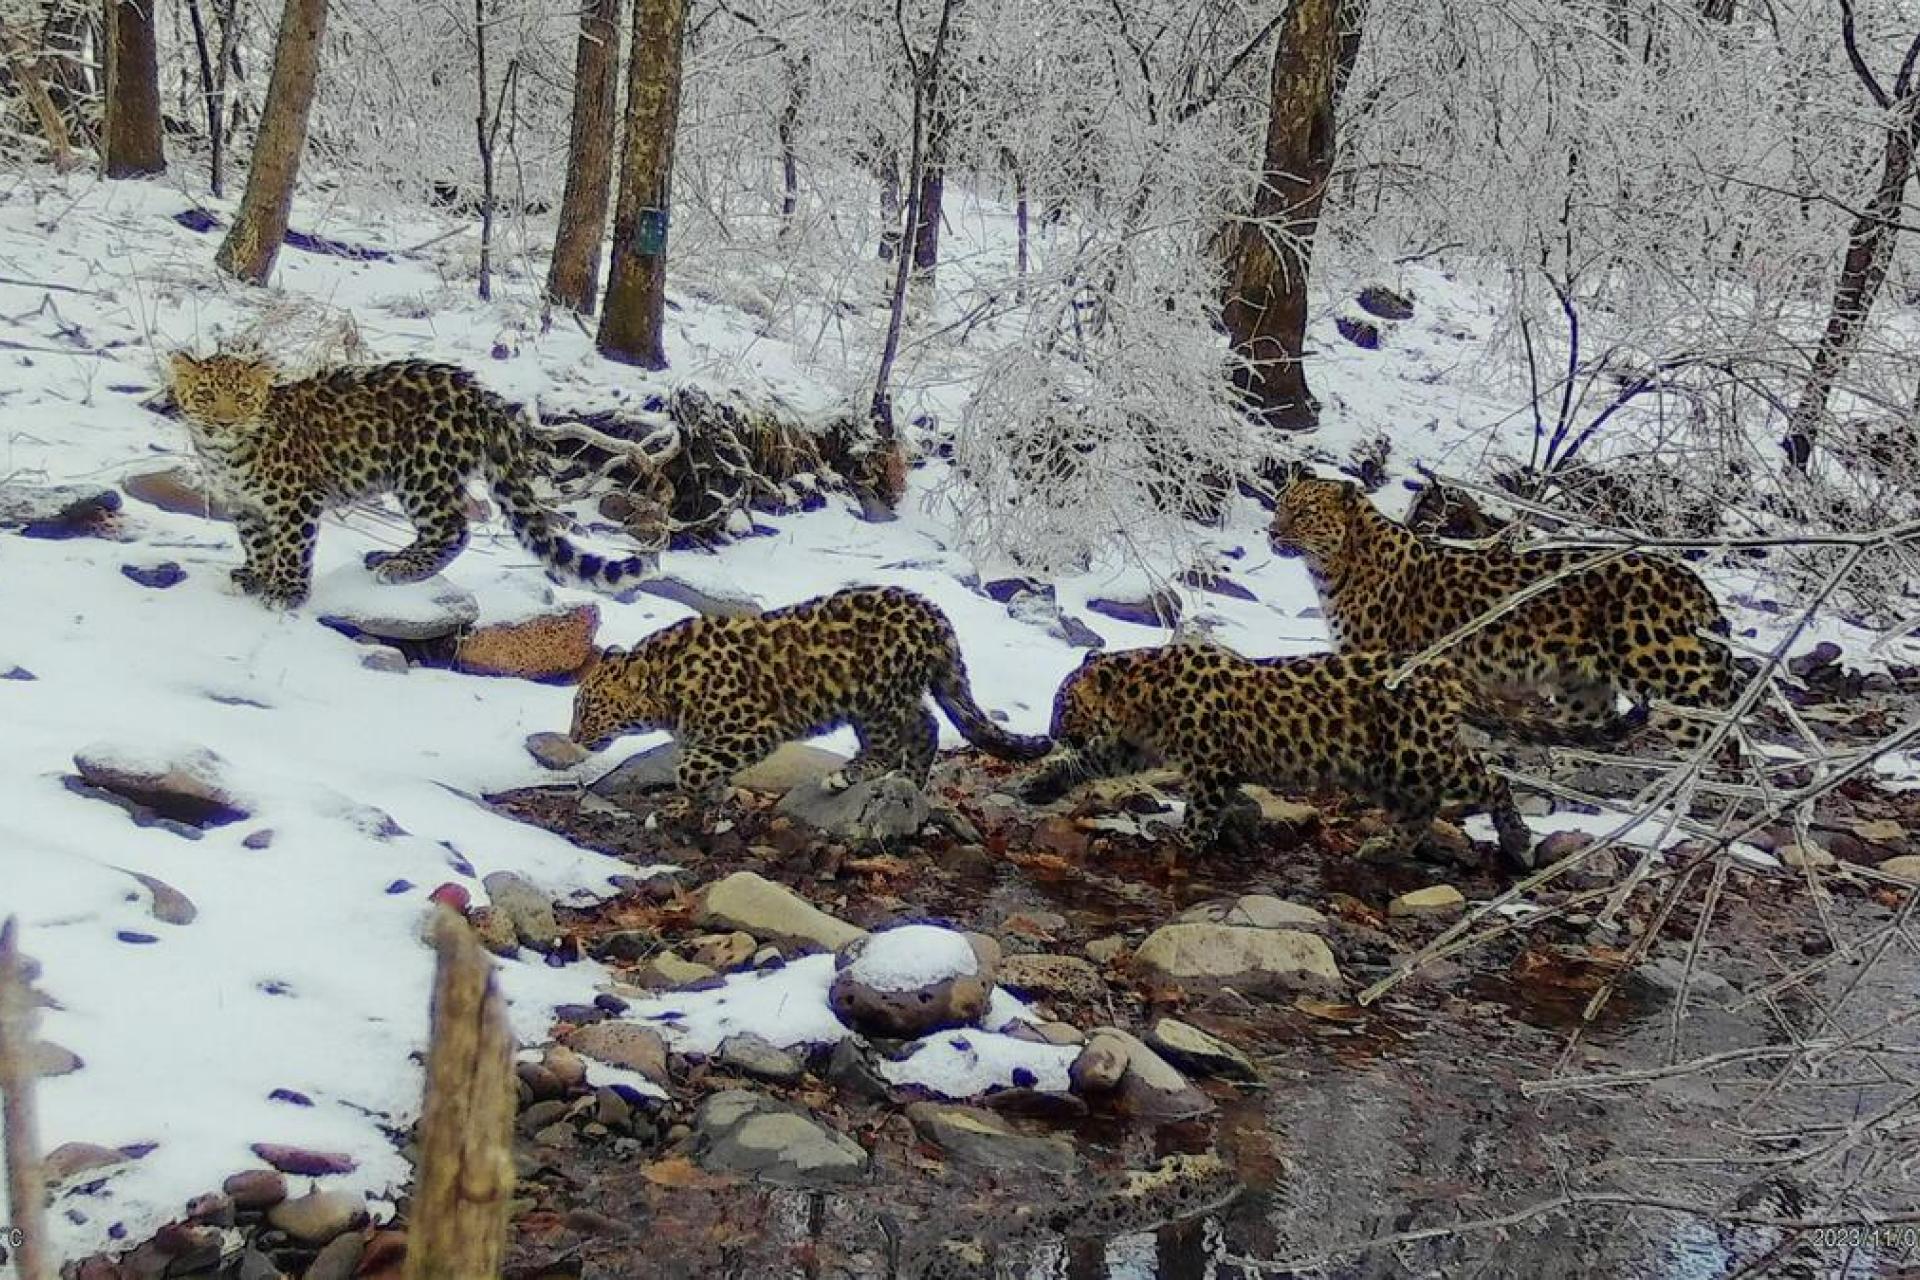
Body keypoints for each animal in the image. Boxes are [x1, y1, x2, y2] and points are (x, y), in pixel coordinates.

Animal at [165, 351, 657, 606]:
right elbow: (258, 542)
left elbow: (291, 546)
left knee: (453, 530)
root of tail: (482, 397)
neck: (223, 455)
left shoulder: (297, 499)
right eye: (206, 395)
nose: (223, 422)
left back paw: (400, 567)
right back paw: (388, 556)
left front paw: (286, 590)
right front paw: (255, 575)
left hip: (422, 471)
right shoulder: (244, 505)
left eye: (242, 397)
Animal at [568, 586, 1050, 818]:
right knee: (925, 726)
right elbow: (698, 764)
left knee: (890, 743)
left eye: (587, 708)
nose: (572, 736)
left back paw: (847, 776)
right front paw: (709, 797)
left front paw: (704, 795)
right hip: (889, 697)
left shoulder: (754, 729)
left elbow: (689, 768)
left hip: (874, 699)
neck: (668, 685)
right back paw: (910, 783)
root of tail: (935, 615)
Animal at [1022, 642, 1535, 869]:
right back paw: (1383, 849)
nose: (1050, 732)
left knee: (1490, 779)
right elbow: (1090, 761)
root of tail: (1444, 668)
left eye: (1062, 705)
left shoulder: (1211, 763)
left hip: (1416, 754)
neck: (1141, 697)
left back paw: (1517, 839)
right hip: (1383, 770)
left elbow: (1201, 809)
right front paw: (1041, 784)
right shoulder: (1129, 747)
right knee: (1420, 809)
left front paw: (1184, 844)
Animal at [1267, 468, 1736, 751]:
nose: (1271, 531)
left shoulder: (1376, 660)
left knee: (1717, 737)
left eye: (1304, 512)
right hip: (1583, 689)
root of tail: (1692, 580)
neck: (1332, 567)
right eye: (1279, 503)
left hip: (1670, 678)